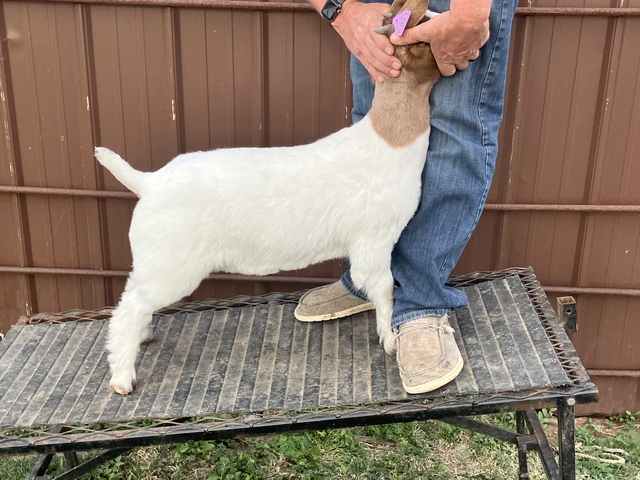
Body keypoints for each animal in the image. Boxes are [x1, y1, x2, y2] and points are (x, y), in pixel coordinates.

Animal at [95, 0, 440, 394]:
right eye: (428, 32)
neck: (391, 137)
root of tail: (149, 182)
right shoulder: (374, 242)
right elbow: (383, 289)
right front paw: (390, 339)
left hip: (156, 262)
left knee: (134, 298)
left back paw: (143, 337)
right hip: (172, 264)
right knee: (129, 308)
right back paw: (123, 377)